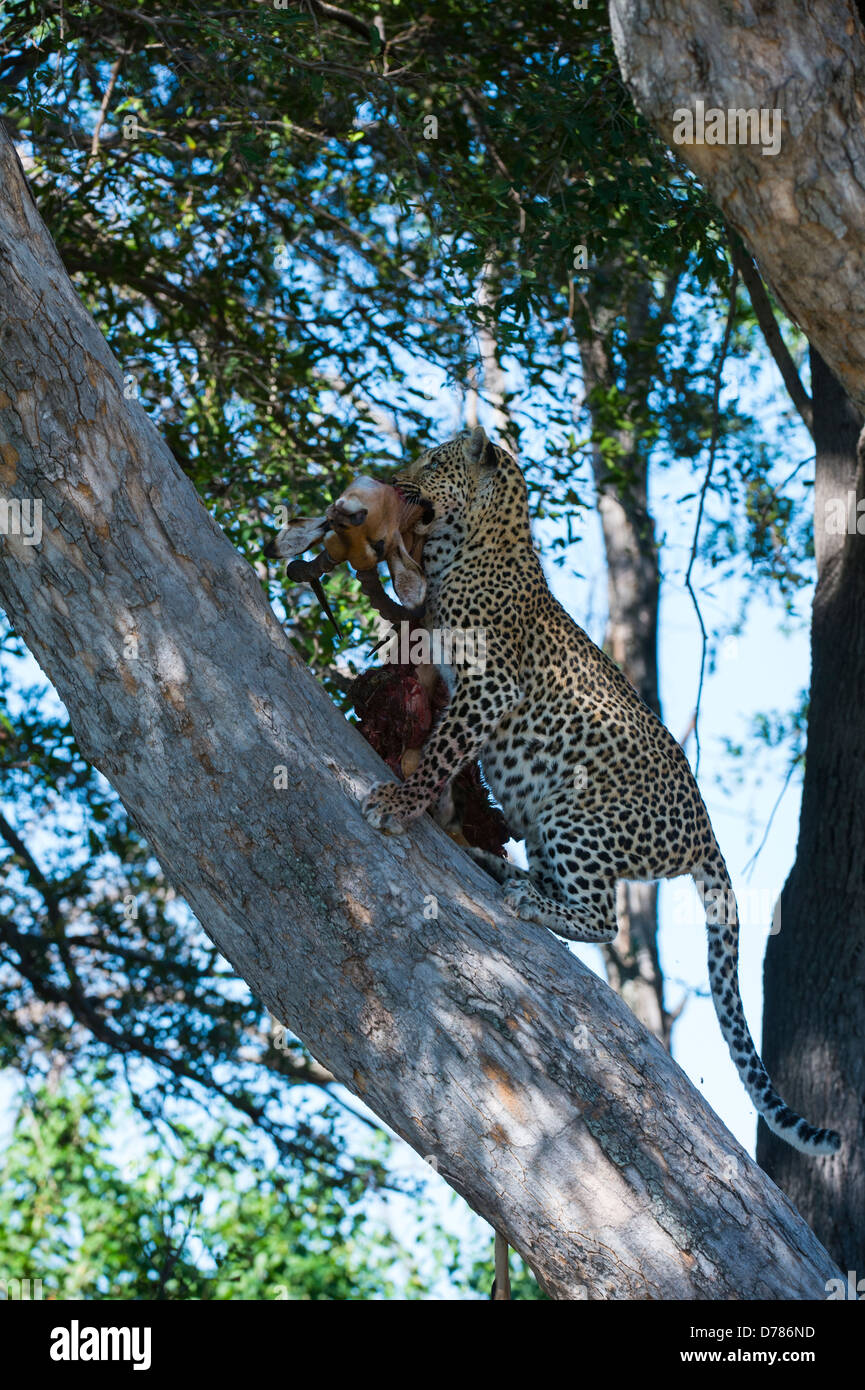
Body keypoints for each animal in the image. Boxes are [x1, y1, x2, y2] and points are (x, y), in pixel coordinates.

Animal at [361, 425, 840, 1157]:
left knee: (604, 918)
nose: (392, 479)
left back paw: (531, 901)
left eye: (433, 462)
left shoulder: (490, 687)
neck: (468, 547)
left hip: (576, 814)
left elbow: (442, 751)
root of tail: (707, 836)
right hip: (543, 822)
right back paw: (499, 866)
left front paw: (400, 803)